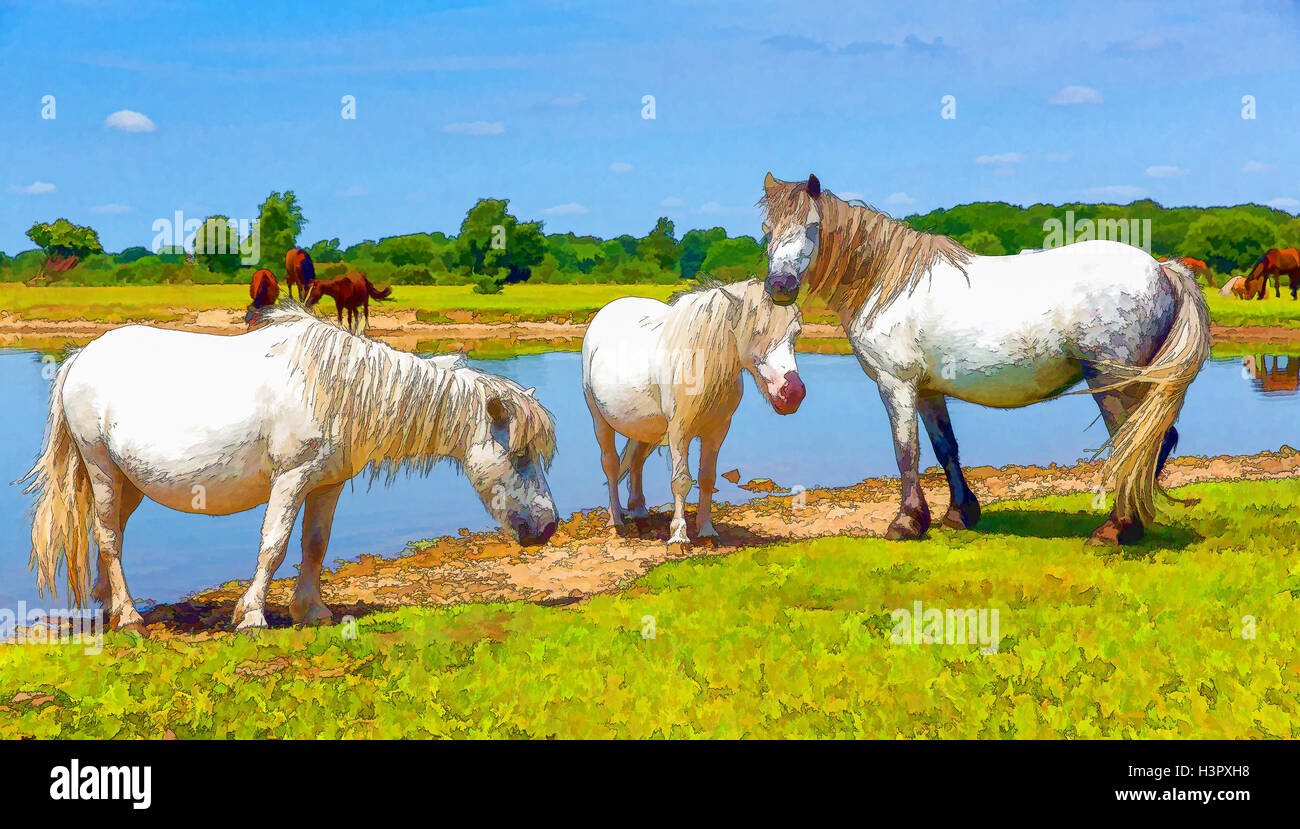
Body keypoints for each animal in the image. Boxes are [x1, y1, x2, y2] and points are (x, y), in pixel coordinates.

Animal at [20, 301, 558, 633]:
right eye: (520, 454)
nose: (548, 526)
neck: (340, 389)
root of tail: (81, 357)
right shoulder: (291, 479)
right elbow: (274, 545)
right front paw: (253, 616)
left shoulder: (327, 485)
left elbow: (314, 545)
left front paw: (312, 611)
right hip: (101, 467)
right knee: (109, 535)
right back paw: (131, 618)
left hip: (127, 480)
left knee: (107, 531)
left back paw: (111, 605)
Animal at [582, 278, 804, 548]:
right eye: (757, 332)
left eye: (795, 334)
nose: (793, 394)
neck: (699, 365)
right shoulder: (679, 432)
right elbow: (681, 481)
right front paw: (679, 535)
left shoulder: (717, 431)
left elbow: (707, 477)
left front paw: (707, 529)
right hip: (599, 420)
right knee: (611, 465)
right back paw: (616, 520)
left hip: (645, 428)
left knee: (636, 461)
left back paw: (639, 512)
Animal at [760, 173, 1210, 546]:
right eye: (767, 231)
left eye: (812, 227)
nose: (779, 286)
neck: (888, 284)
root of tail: (1162, 270)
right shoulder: (927, 389)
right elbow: (945, 447)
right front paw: (959, 514)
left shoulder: (896, 383)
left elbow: (906, 451)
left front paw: (906, 523)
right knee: (1154, 440)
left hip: (1110, 378)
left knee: (1133, 442)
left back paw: (1116, 529)